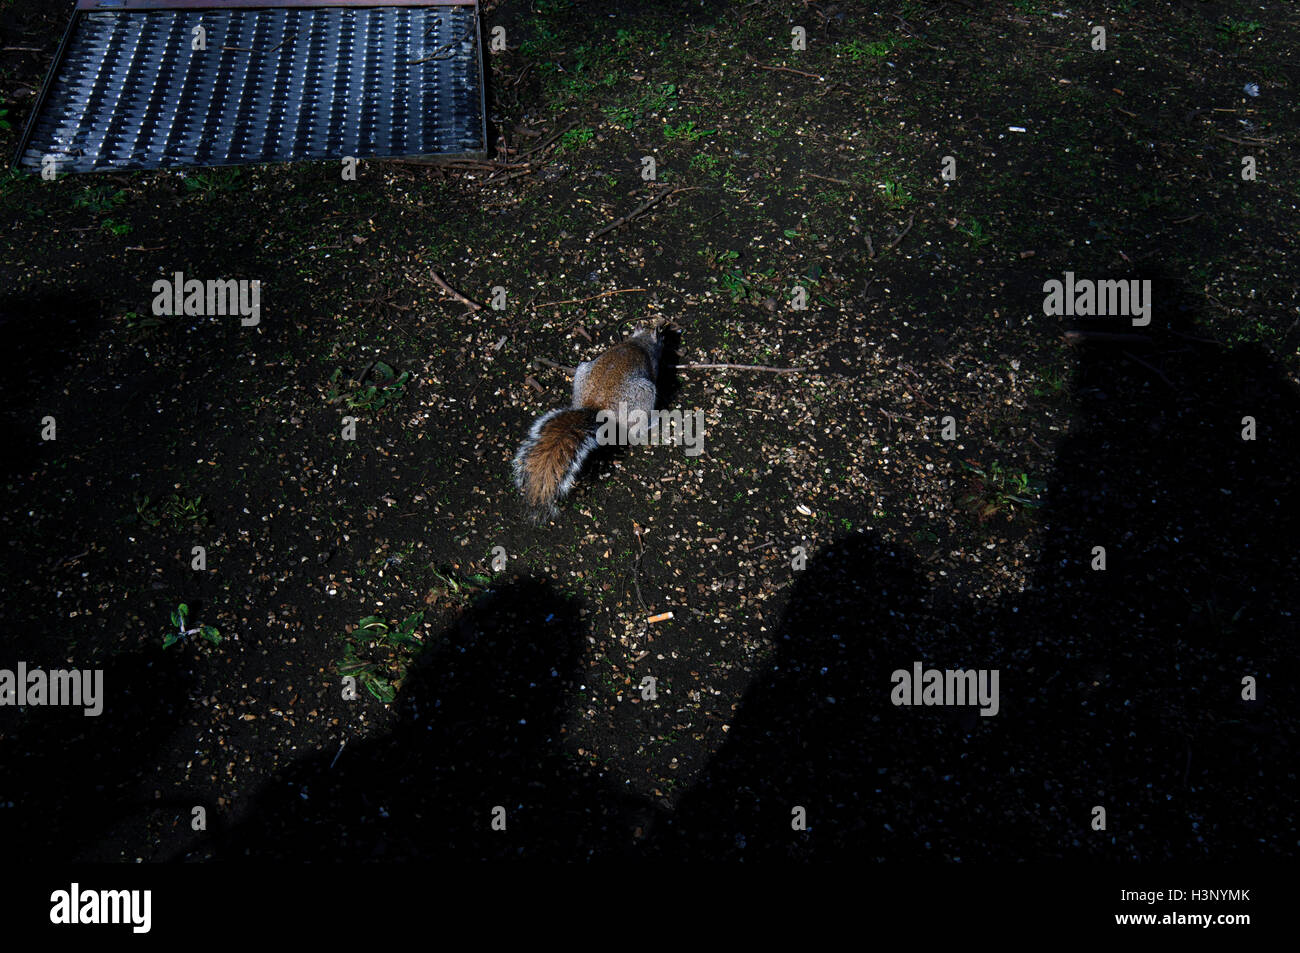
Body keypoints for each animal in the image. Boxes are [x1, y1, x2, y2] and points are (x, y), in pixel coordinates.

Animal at [513, 322, 664, 521]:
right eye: (660, 338)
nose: (664, 338)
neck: (639, 342)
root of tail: (594, 407)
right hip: (646, 394)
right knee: (635, 430)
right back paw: (653, 421)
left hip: (582, 370)